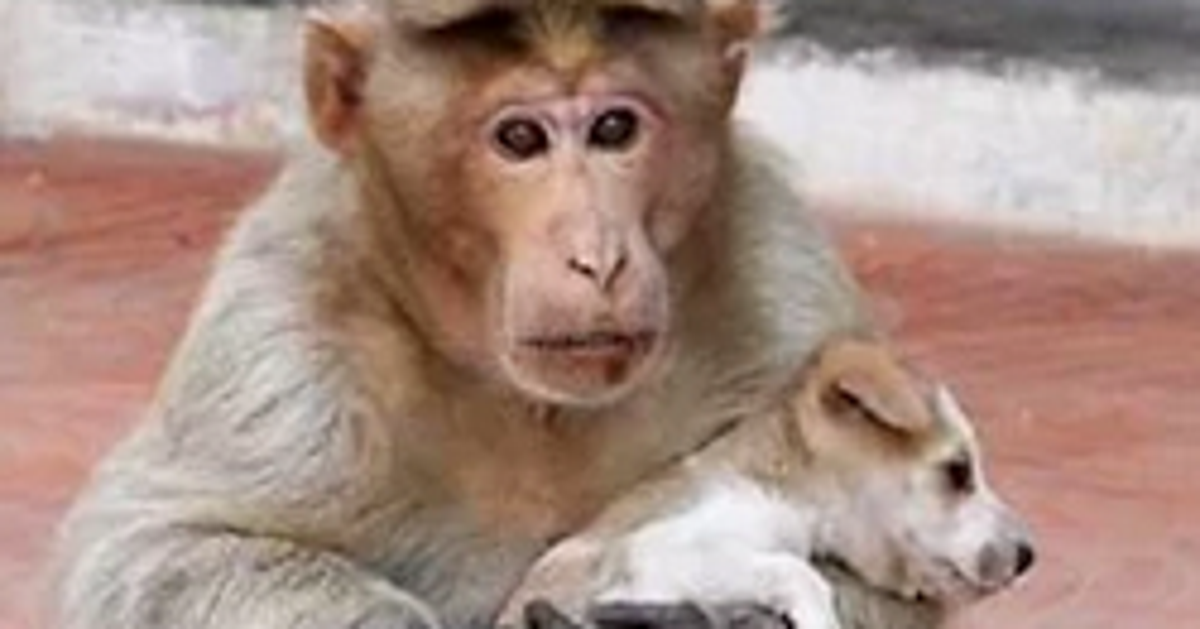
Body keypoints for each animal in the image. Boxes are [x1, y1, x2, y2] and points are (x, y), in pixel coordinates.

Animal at [49, 1, 882, 629]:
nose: (597, 257)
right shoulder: (281, 342)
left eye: (614, 129)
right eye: (520, 138)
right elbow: (147, 553)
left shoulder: (789, 298)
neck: (537, 408)